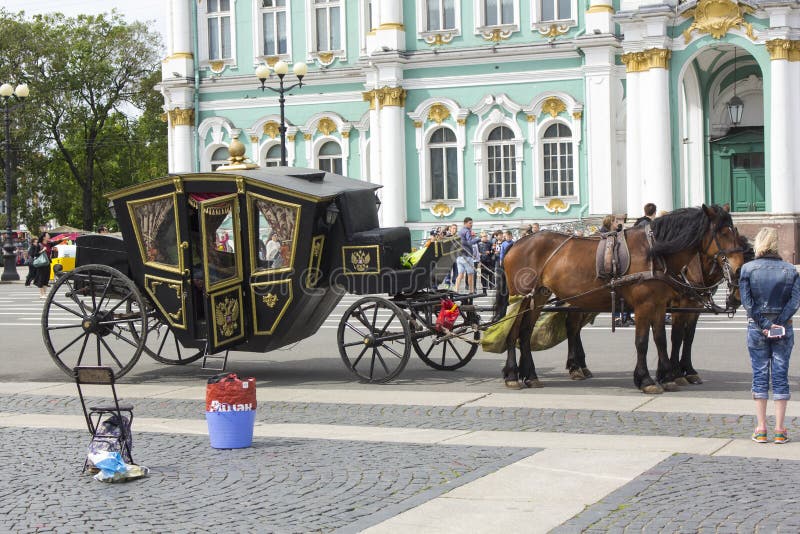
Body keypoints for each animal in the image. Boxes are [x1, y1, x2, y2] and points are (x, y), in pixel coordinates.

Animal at [494, 205, 746, 393]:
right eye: (723, 233)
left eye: (735, 232)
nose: (738, 271)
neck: (654, 252)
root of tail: (515, 244)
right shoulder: (648, 306)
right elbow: (645, 341)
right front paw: (647, 379)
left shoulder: (660, 305)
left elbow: (663, 339)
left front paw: (668, 376)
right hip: (522, 299)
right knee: (514, 332)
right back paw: (513, 375)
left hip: (539, 298)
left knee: (528, 332)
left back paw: (532, 375)